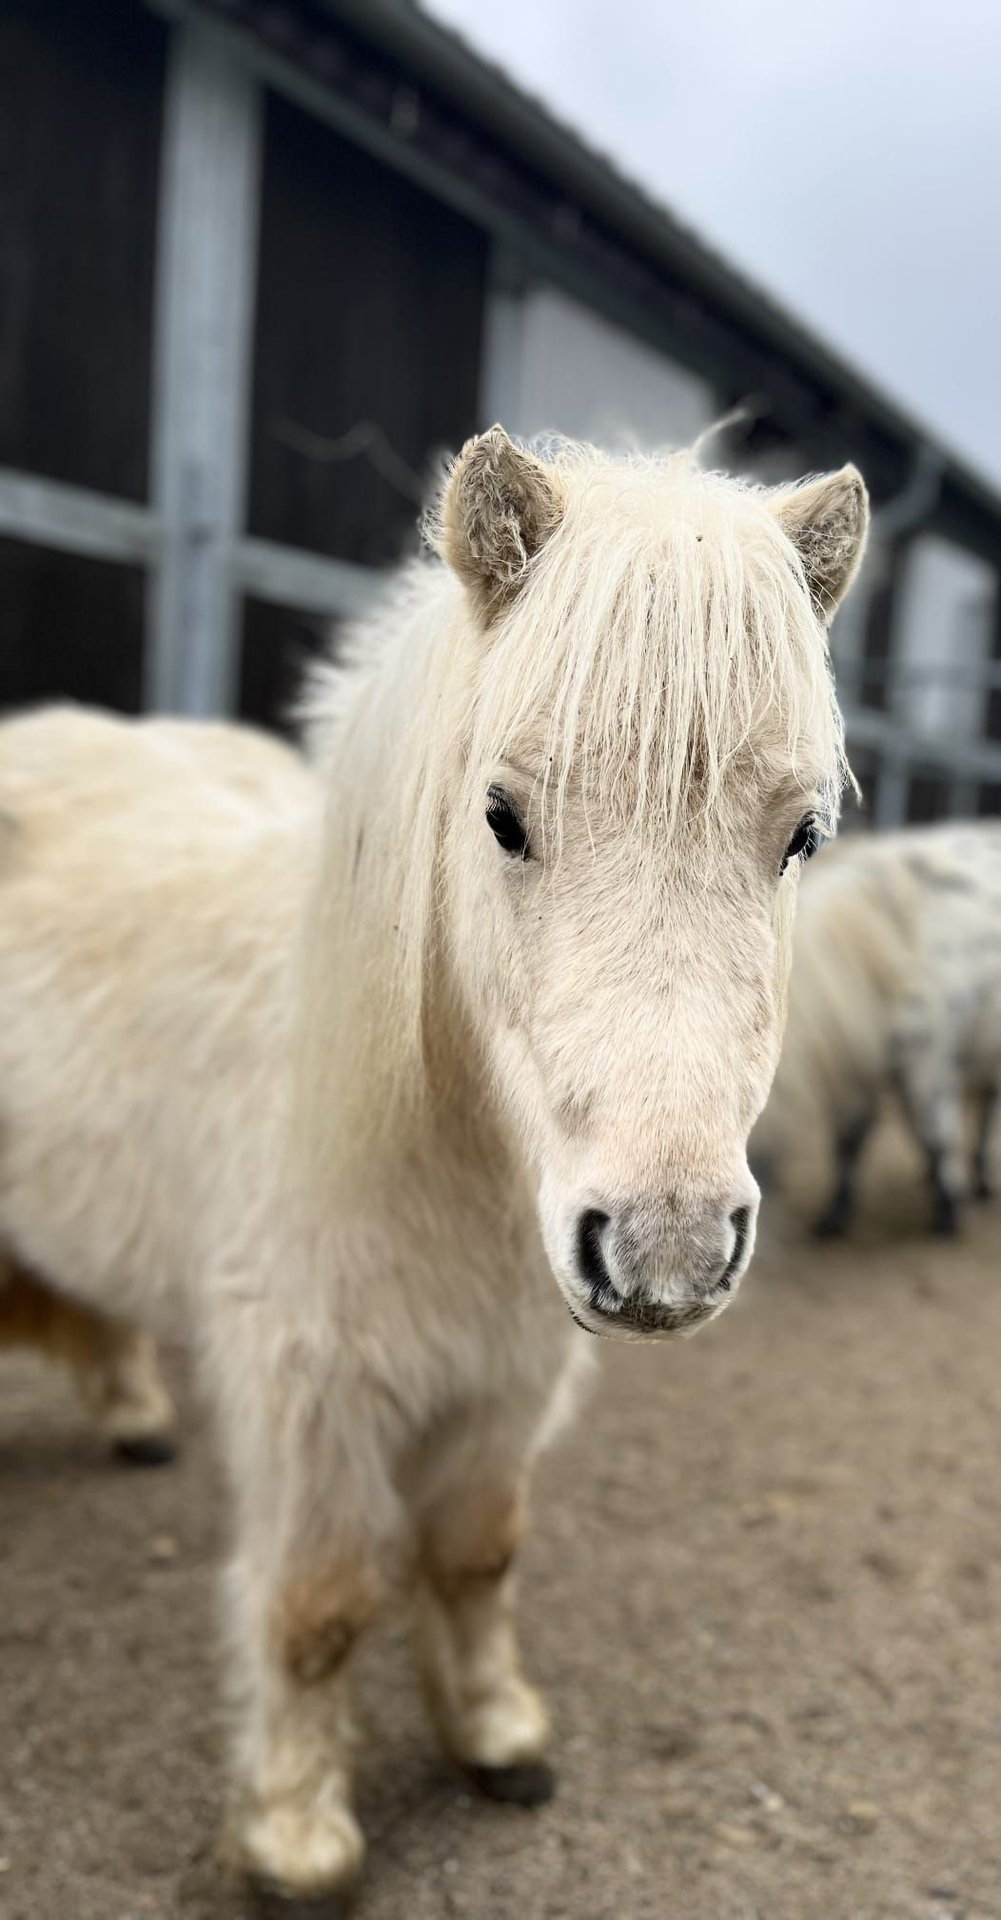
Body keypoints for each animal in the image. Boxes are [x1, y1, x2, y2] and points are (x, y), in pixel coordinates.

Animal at [0, 429, 867, 1912]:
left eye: (800, 834)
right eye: (502, 817)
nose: (669, 1250)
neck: (446, 1161)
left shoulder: (504, 1380)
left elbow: (475, 1556)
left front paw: (497, 1738)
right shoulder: (313, 1397)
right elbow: (319, 1607)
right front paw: (296, 1837)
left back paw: (132, 1418)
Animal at [752, 819, 1001, 1237]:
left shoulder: (929, 1066)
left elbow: (936, 1136)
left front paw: (947, 1211)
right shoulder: (858, 1068)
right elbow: (849, 1140)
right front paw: (834, 1215)